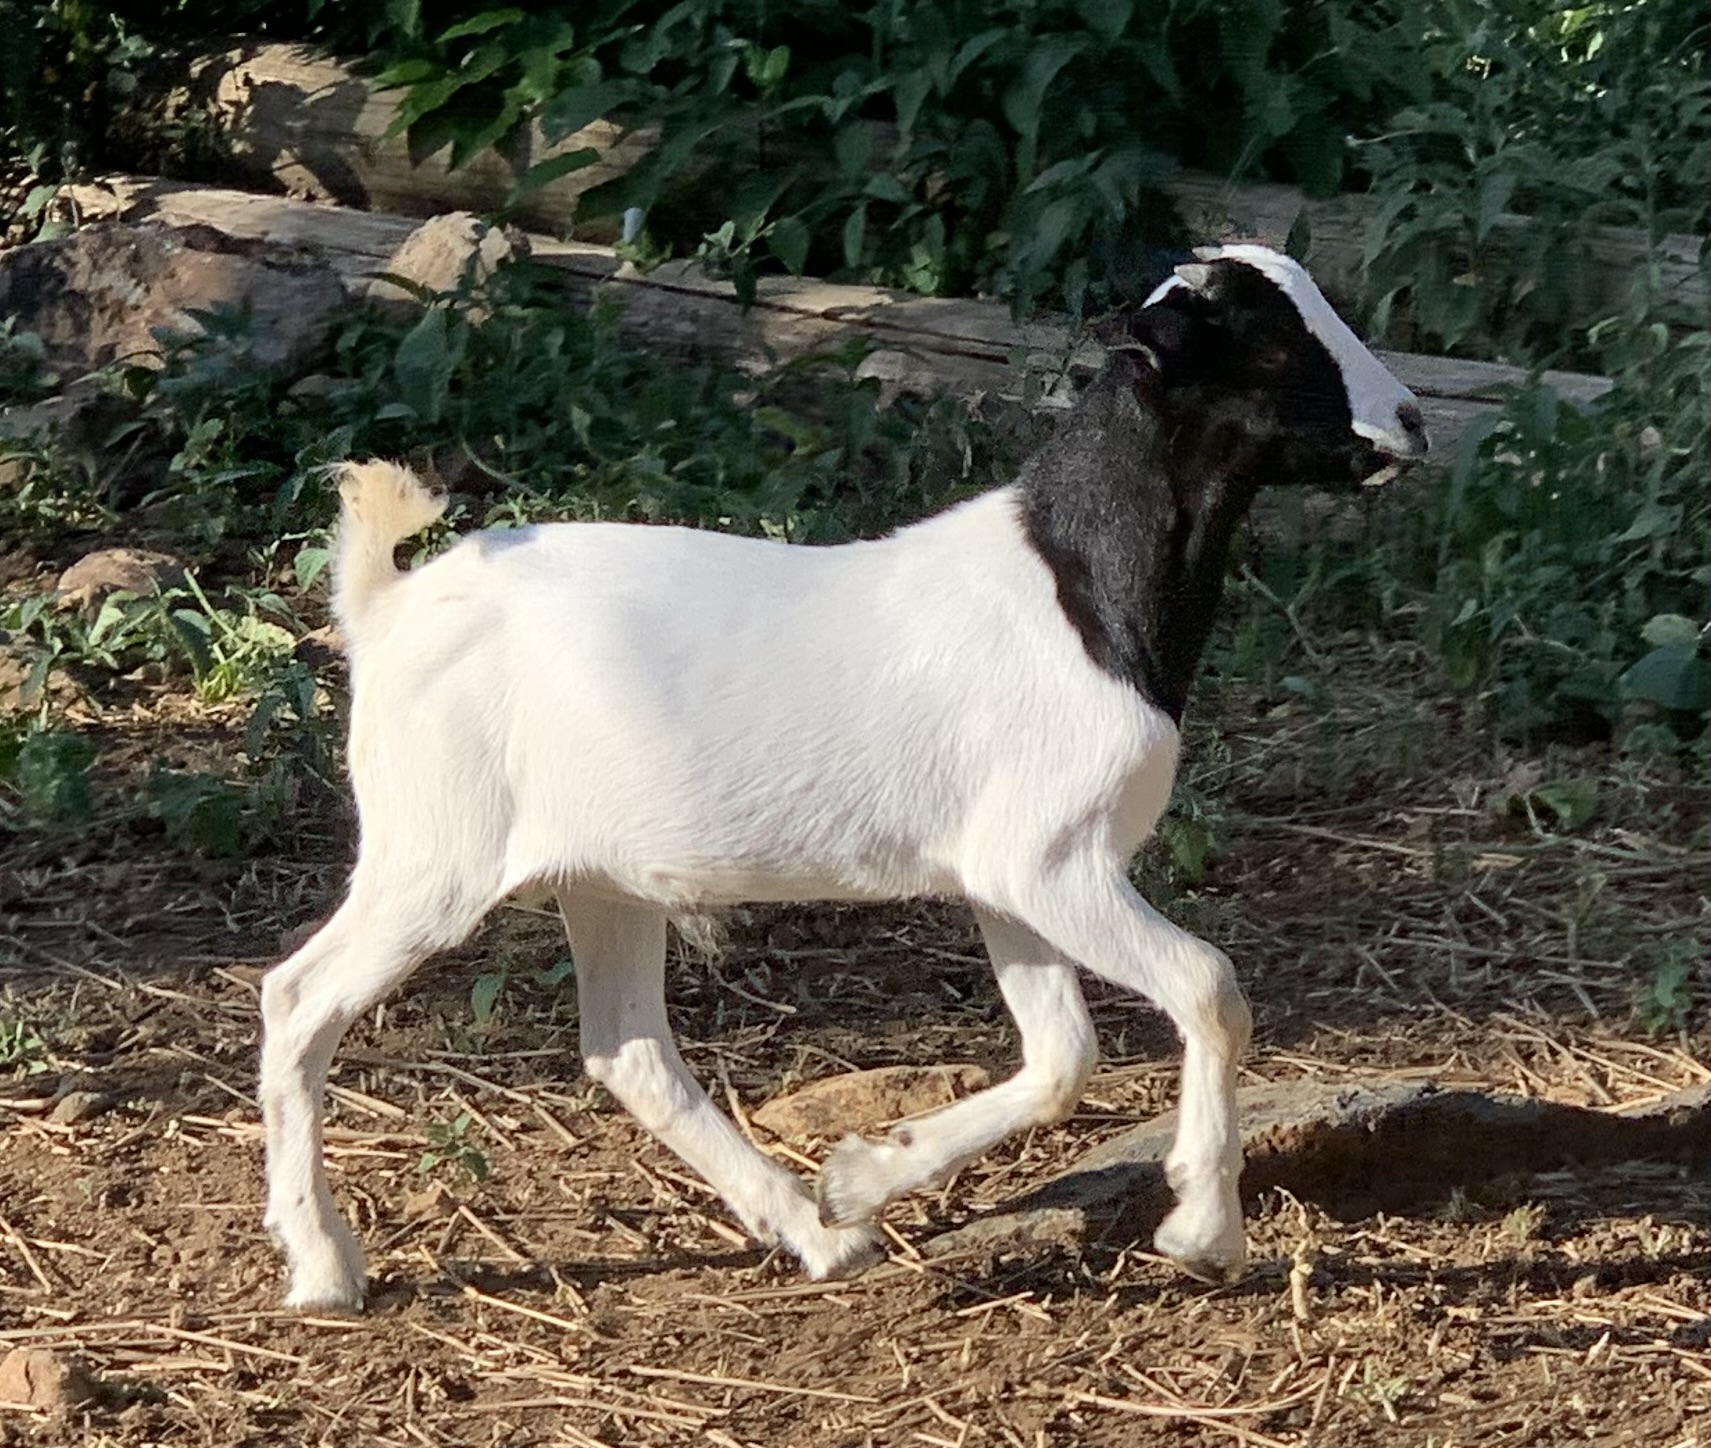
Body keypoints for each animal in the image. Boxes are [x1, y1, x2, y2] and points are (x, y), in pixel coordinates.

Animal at [258, 245, 1429, 1309]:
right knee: (299, 997)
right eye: (1269, 343)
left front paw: (862, 1175)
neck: (1078, 590)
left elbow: (1062, 1057)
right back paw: (323, 1268)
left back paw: (818, 1234)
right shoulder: (1052, 860)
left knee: (629, 1048)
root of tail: (387, 608)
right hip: (434, 850)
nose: (1412, 422)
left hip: (602, 876)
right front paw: (1203, 1232)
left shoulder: (1007, 877)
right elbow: (1208, 987)